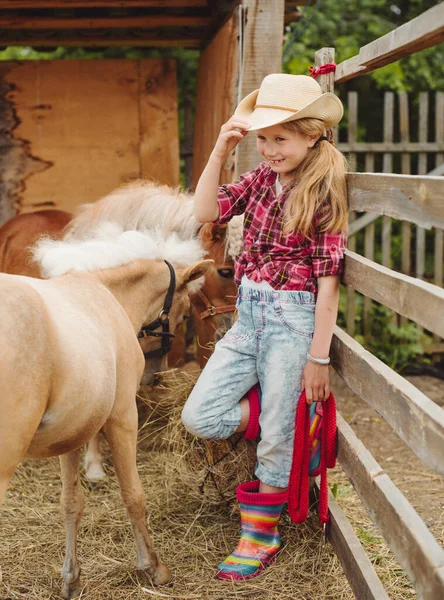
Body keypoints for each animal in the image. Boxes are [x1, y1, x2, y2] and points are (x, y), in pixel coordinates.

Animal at [0, 225, 212, 596]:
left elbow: (71, 502)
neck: (107, 296)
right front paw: (153, 568)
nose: (153, 375)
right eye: (185, 314)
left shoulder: (71, 435)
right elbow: (134, 496)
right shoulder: (123, 418)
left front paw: (72, 578)